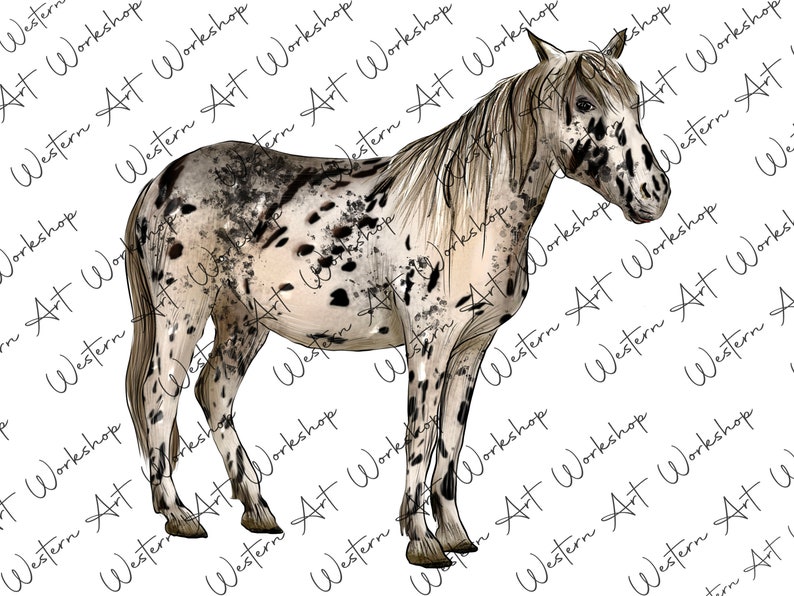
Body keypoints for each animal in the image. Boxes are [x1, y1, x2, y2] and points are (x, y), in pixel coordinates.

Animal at [124, 30, 670, 568]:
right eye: (584, 101)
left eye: (636, 99)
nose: (655, 193)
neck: (462, 212)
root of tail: (162, 181)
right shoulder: (428, 343)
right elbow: (420, 433)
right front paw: (422, 543)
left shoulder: (472, 347)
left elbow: (451, 439)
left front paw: (455, 535)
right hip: (182, 313)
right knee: (159, 393)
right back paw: (179, 515)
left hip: (244, 320)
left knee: (213, 391)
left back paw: (259, 511)